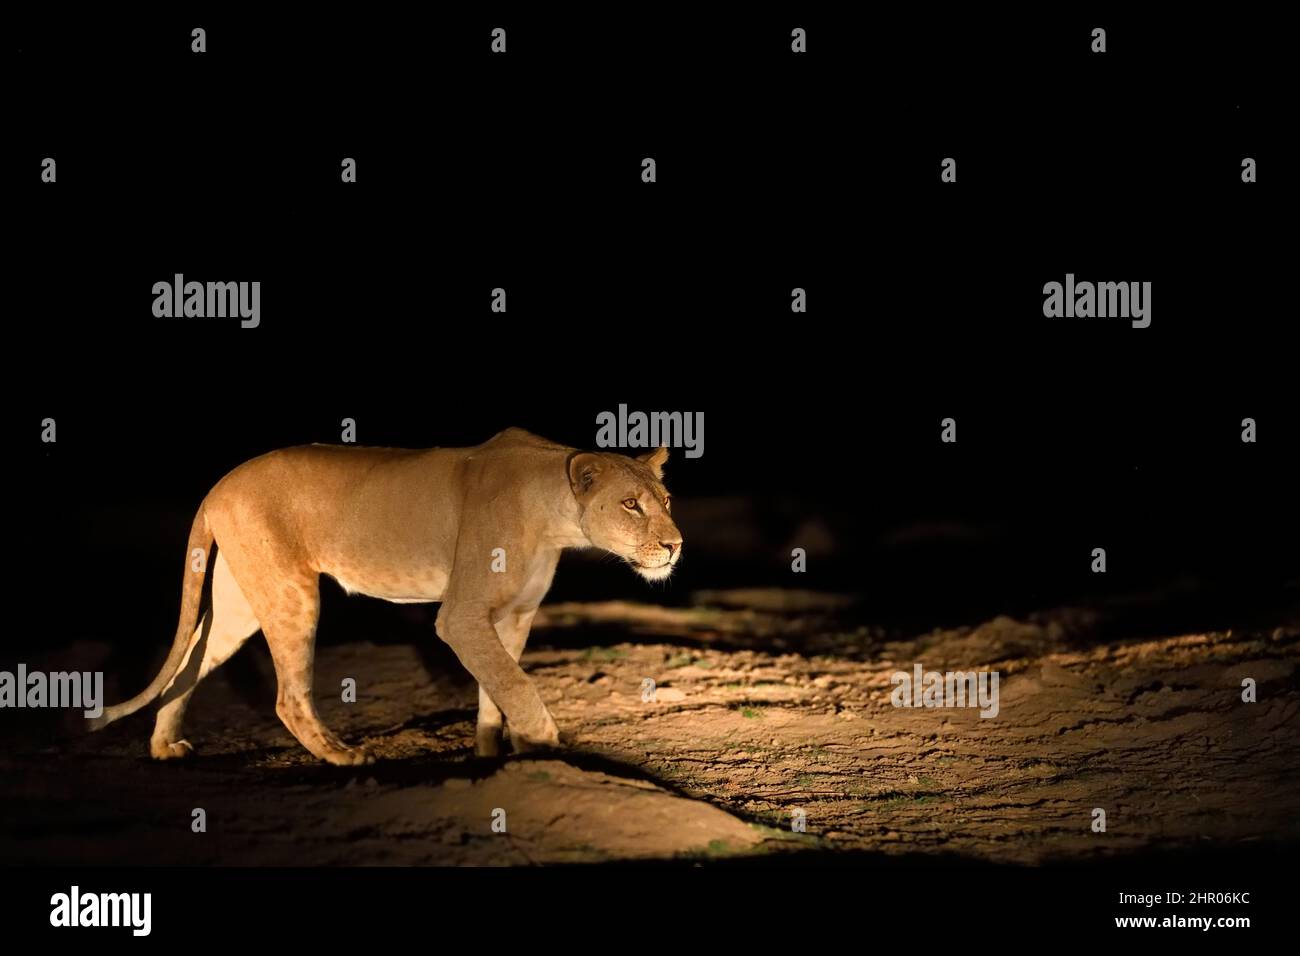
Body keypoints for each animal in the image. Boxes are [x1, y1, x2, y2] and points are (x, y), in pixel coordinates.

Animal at [89, 428, 682, 764]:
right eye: (630, 504)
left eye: (666, 500)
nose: (675, 546)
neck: (554, 515)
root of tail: (216, 487)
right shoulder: (461, 617)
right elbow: (517, 685)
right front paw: (546, 746)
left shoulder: (513, 615)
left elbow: (498, 687)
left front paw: (495, 755)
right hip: (291, 592)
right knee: (286, 697)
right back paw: (343, 756)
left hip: (241, 598)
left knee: (191, 659)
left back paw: (164, 748)